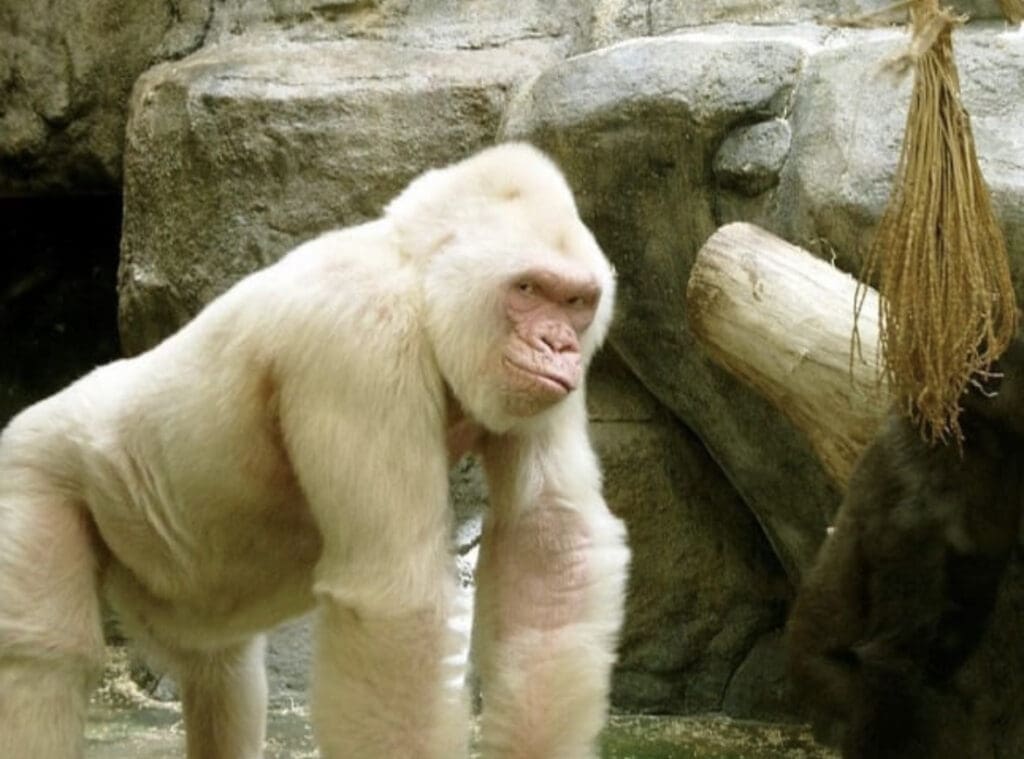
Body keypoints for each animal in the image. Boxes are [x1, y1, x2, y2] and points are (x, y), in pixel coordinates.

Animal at [0, 142, 630, 759]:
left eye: (576, 301)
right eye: (527, 290)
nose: (558, 346)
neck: (414, 276)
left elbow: (548, 546)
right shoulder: (361, 336)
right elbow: (397, 606)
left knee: (221, 671)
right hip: (30, 466)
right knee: (45, 662)